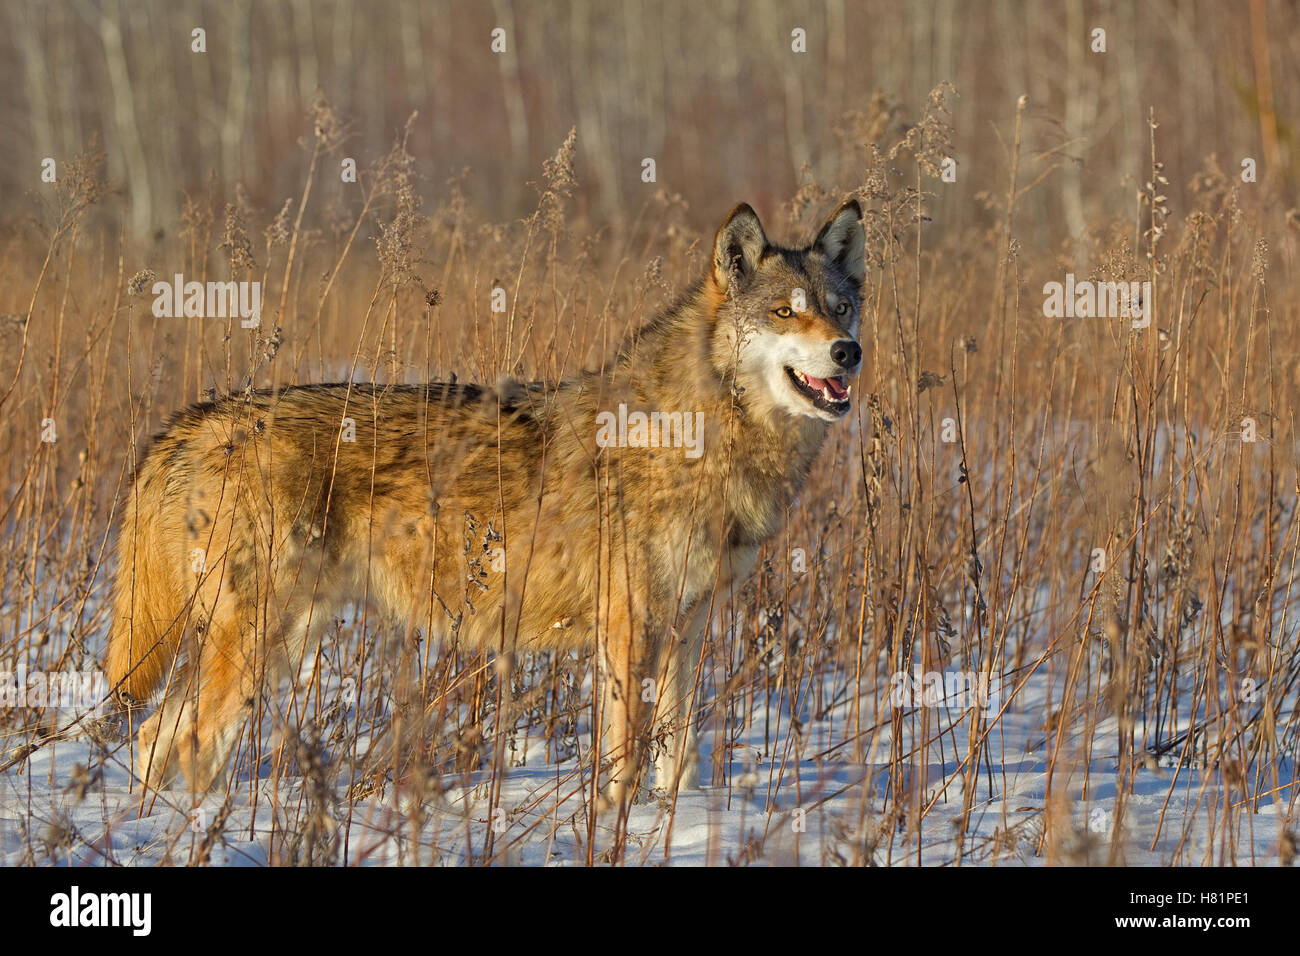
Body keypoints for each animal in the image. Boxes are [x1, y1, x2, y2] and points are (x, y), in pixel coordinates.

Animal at [105, 199, 866, 807]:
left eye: (841, 307)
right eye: (785, 312)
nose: (848, 351)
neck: (701, 430)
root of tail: (194, 420)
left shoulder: (690, 622)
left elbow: (676, 760)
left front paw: (673, 828)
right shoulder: (627, 627)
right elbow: (624, 759)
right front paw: (618, 825)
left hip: (282, 640)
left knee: (157, 735)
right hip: (262, 638)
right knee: (186, 736)